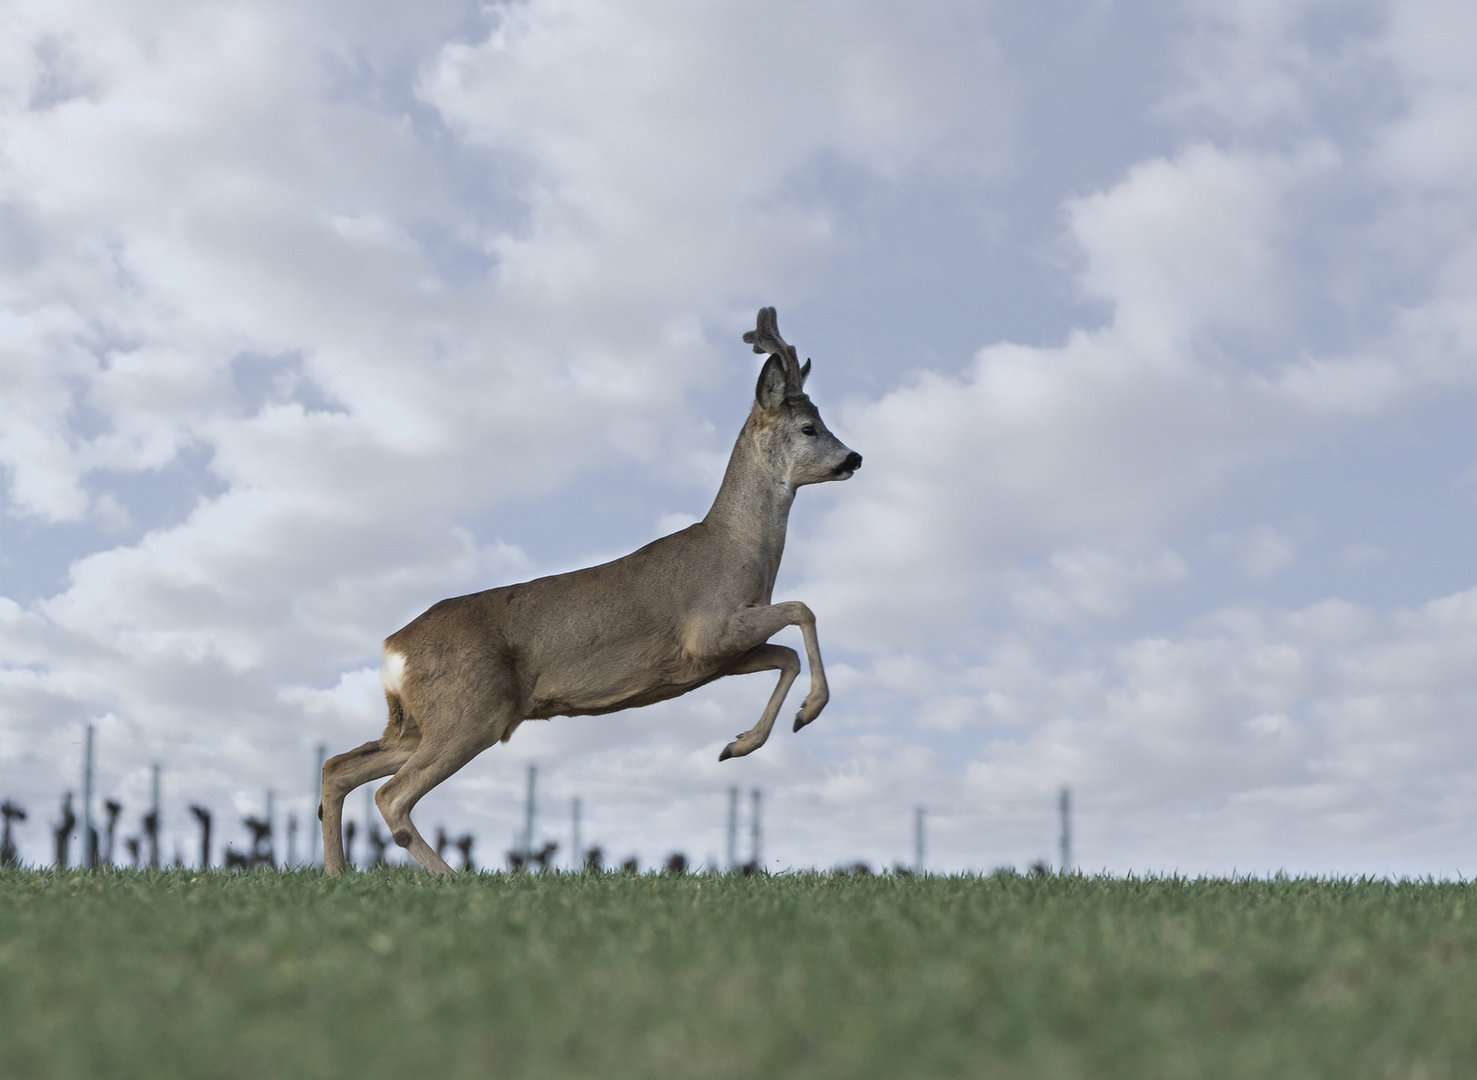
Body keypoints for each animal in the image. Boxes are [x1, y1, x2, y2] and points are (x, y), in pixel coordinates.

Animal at [319, 307, 861, 876]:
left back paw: (338, 873)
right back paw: (449, 876)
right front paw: (810, 711)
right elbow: (804, 610)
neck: (738, 548)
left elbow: (785, 656)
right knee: (391, 795)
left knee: (338, 767)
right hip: (469, 712)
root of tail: (391, 649)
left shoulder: (714, 657)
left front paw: (741, 744)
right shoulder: (708, 630)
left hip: (420, 722)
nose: (854, 458)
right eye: (809, 427)